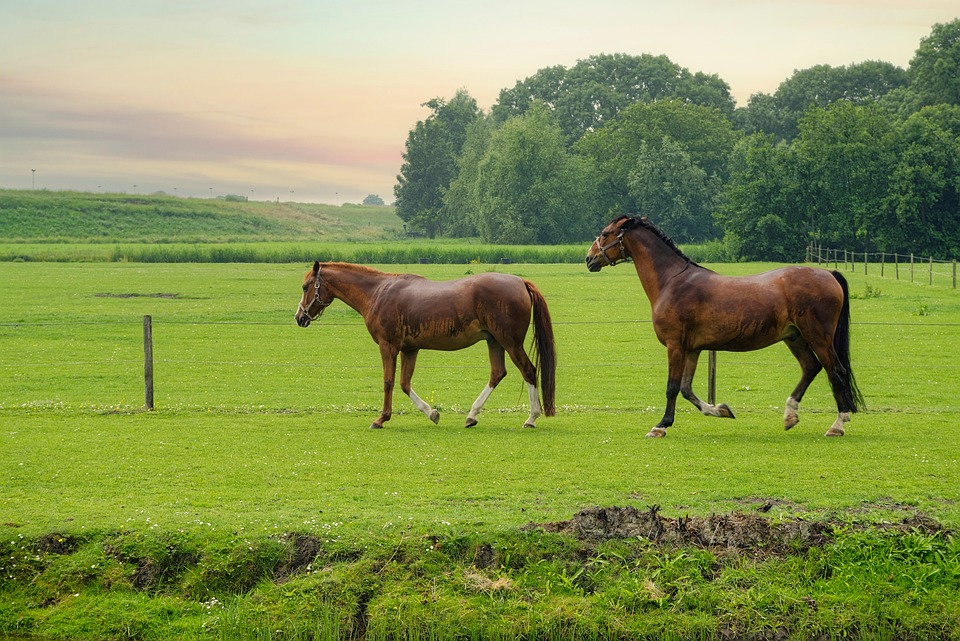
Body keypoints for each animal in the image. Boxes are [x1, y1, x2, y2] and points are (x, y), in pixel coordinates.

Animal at [294, 261, 556, 430]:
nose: (299, 317)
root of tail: (520, 282)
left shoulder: (388, 346)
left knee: (529, 371)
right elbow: (404, 383)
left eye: (305, 287)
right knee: (497, 373)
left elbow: (388, 382)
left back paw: (531, 418)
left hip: (510, 343)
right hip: (495, 342)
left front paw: (381, 419)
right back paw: (471, 416)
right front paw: (432, 413)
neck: (378, 292)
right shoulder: (410, 349)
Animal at [585, 215, 863, 438]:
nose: (589, 258)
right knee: (811, 367)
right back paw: (790, 416)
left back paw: (837, 425)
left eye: (605, 233)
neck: (672, 282)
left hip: (819, 337)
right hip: (794, 337)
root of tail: (828, 274)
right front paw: (721, 410)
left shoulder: (675, 346)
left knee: (836, 372)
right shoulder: (693, 349)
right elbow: (686, 389)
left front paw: (661, 426)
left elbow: (672, 387)